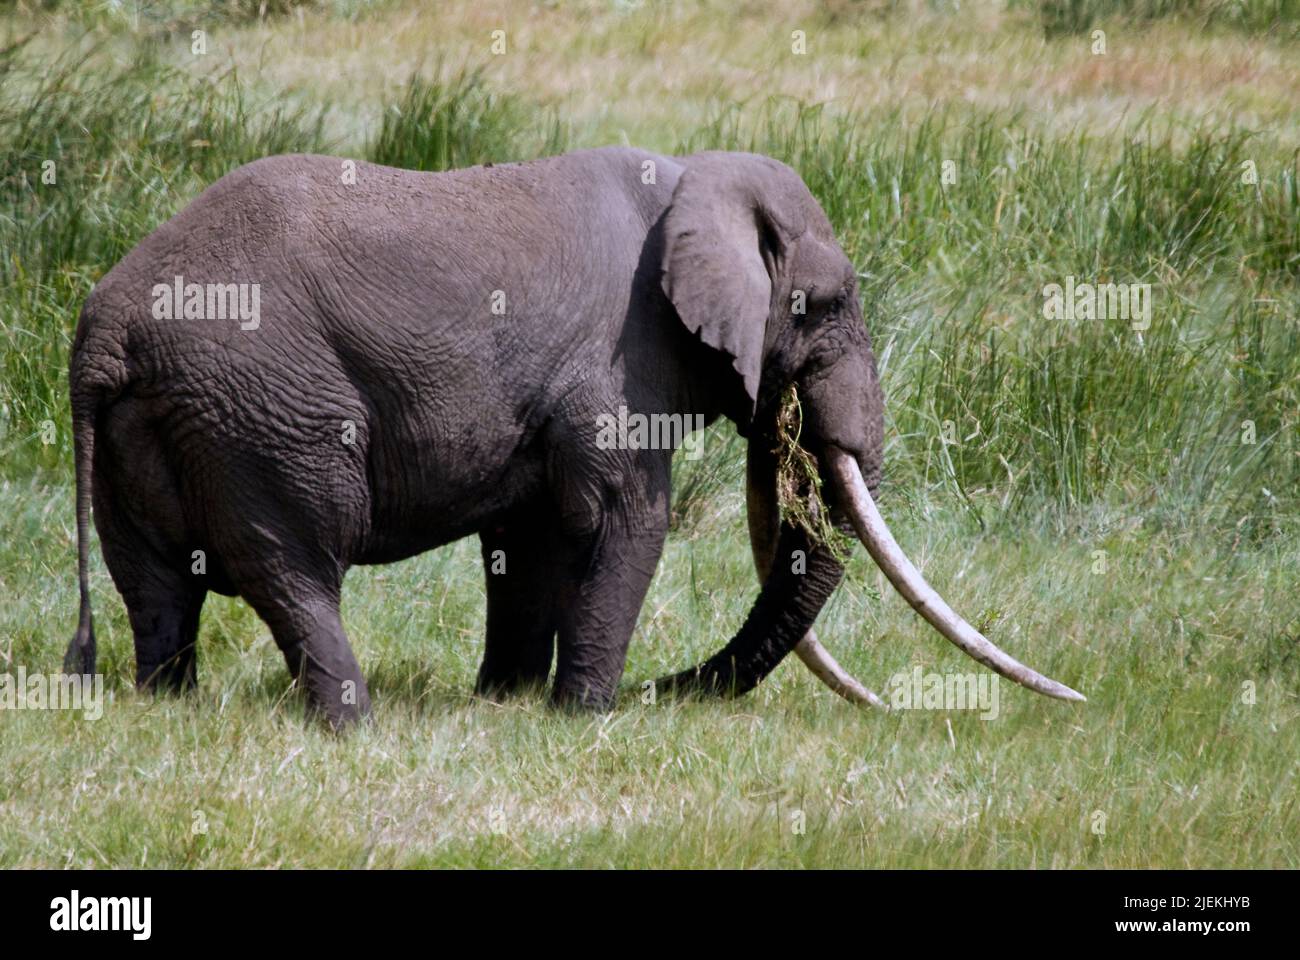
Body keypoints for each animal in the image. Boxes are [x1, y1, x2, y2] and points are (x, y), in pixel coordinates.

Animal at [64, 146, 1084, 727]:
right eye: (823, 307)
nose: (661, 693)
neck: (694, 175)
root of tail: (105, 332)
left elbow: (530, 538)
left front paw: (508, 707)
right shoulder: (621, 357)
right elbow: (625, 520)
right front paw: (586, 721)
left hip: (153, 427)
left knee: (156, 584)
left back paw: (170, 712)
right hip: (264, 415)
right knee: (298, 563)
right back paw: (352, 726)